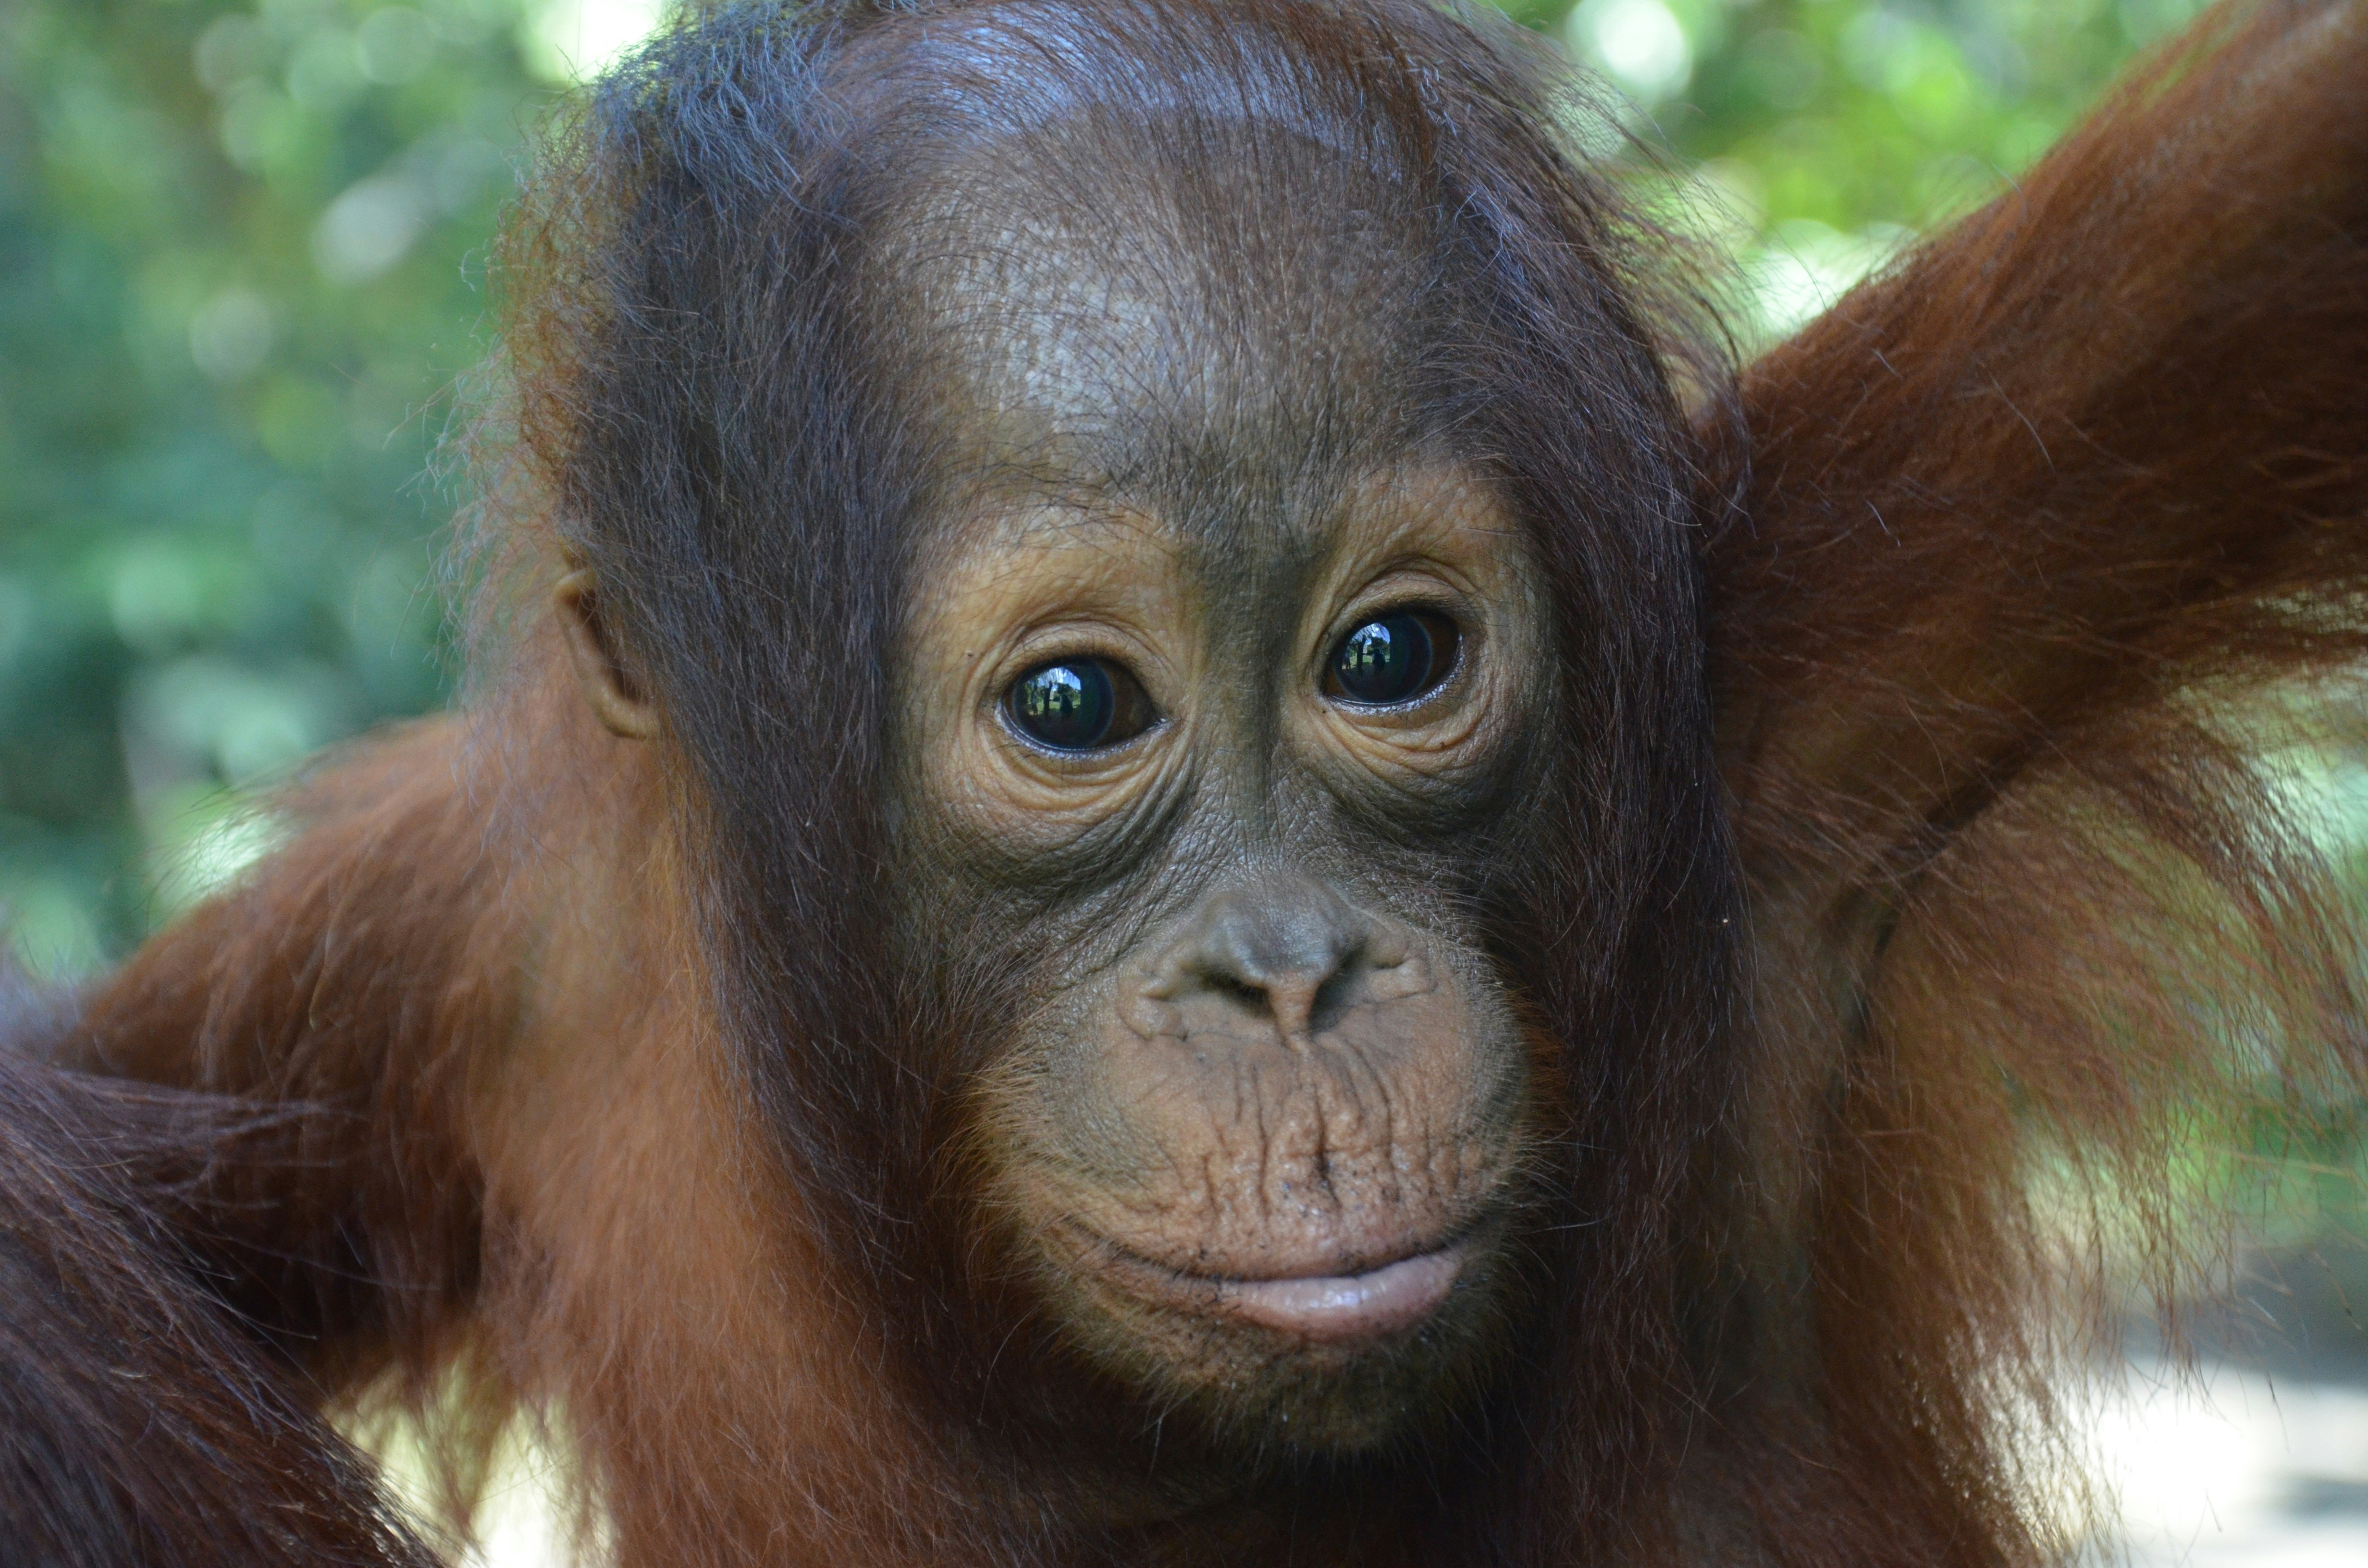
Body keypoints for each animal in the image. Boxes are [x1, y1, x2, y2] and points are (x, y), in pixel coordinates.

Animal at [5, 0, 2365, 1564]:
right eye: (1076, 706)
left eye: (1391, 658)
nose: (1290, 975)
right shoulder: (483, 935)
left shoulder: (1819, 685)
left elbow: (2287, 176)